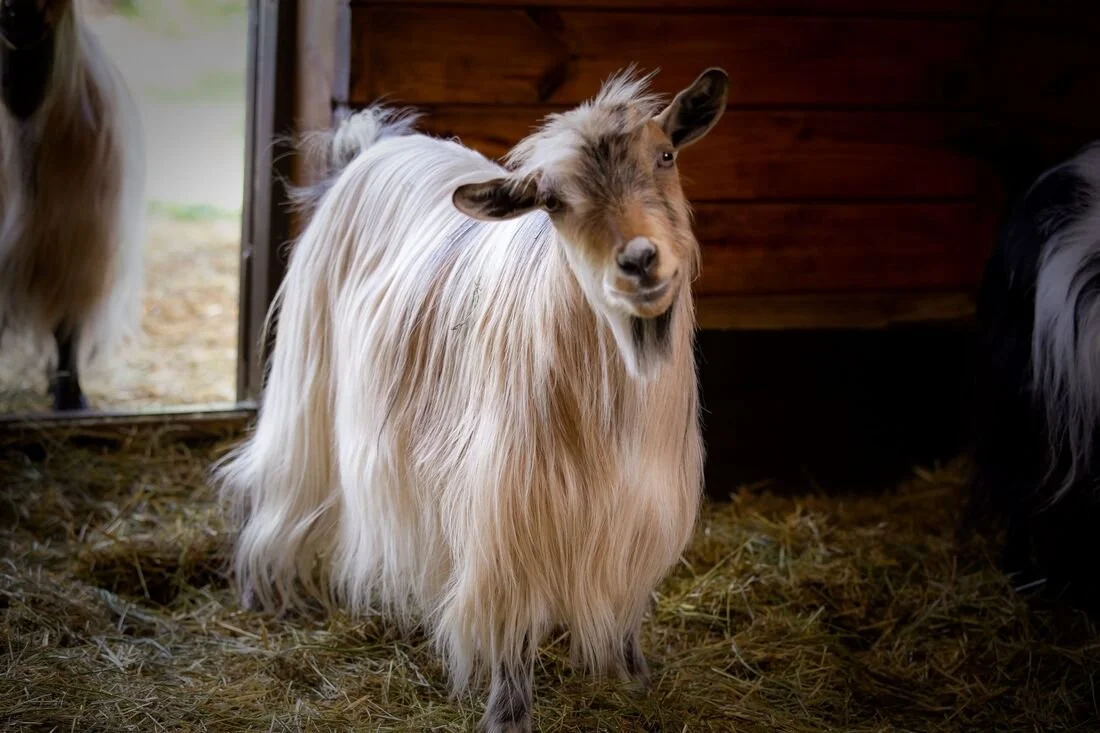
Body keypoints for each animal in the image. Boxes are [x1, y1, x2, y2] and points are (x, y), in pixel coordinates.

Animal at [214, 67, 728, 731]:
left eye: (665, 155)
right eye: (553, 202)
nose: (639, 261)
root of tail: (366, 151)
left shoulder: (644, 505)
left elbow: (626, 604)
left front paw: (634, 679)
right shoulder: (507, 505)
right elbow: (507, 611)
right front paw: (509, 713)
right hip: (304, 381)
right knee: (278, 484)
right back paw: (263, 593)